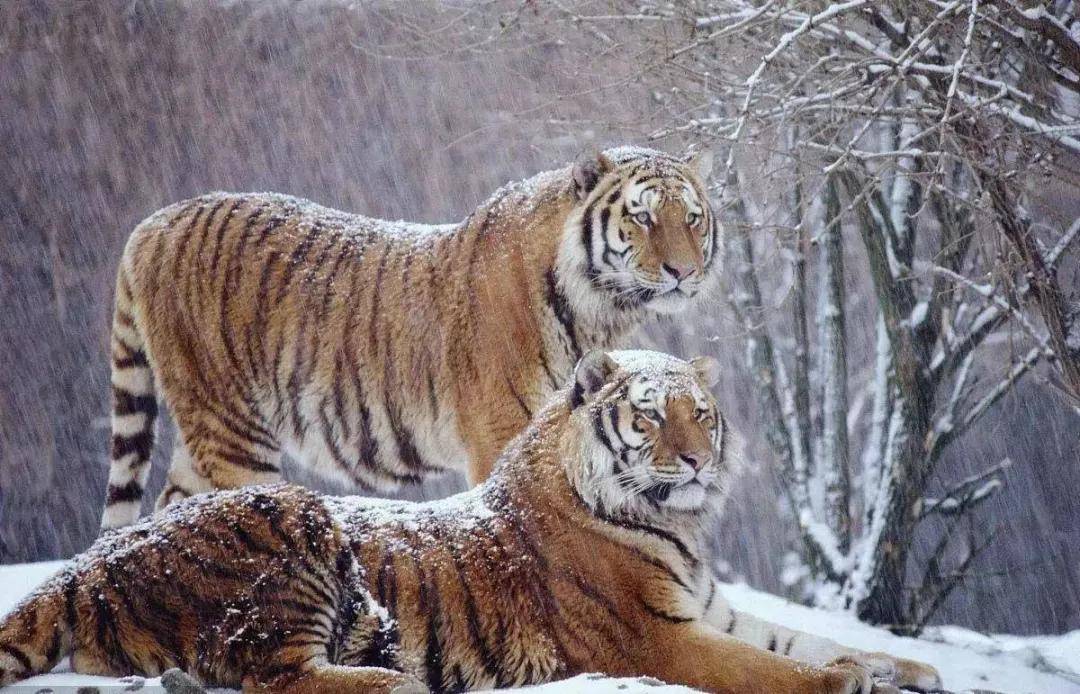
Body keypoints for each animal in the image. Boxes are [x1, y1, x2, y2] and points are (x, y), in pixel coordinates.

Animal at [6, 350, 941, 693]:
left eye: (701, 415)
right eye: (650, 415)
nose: (697, 460)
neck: (677, 527)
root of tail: (91, 560)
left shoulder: (710, 609)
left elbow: (807, 639)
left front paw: (906, 668)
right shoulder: (659, 638)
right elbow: (772, 668)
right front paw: (846, 683)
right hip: (288, 524)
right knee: (275, 675)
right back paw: (392, 683)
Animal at [102, 145, 722, 530]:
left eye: (692, 218)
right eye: (642, 217)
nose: (684, 272)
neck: (600, 309)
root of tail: (150, 224)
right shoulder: (500, 434)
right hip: (231, 432)